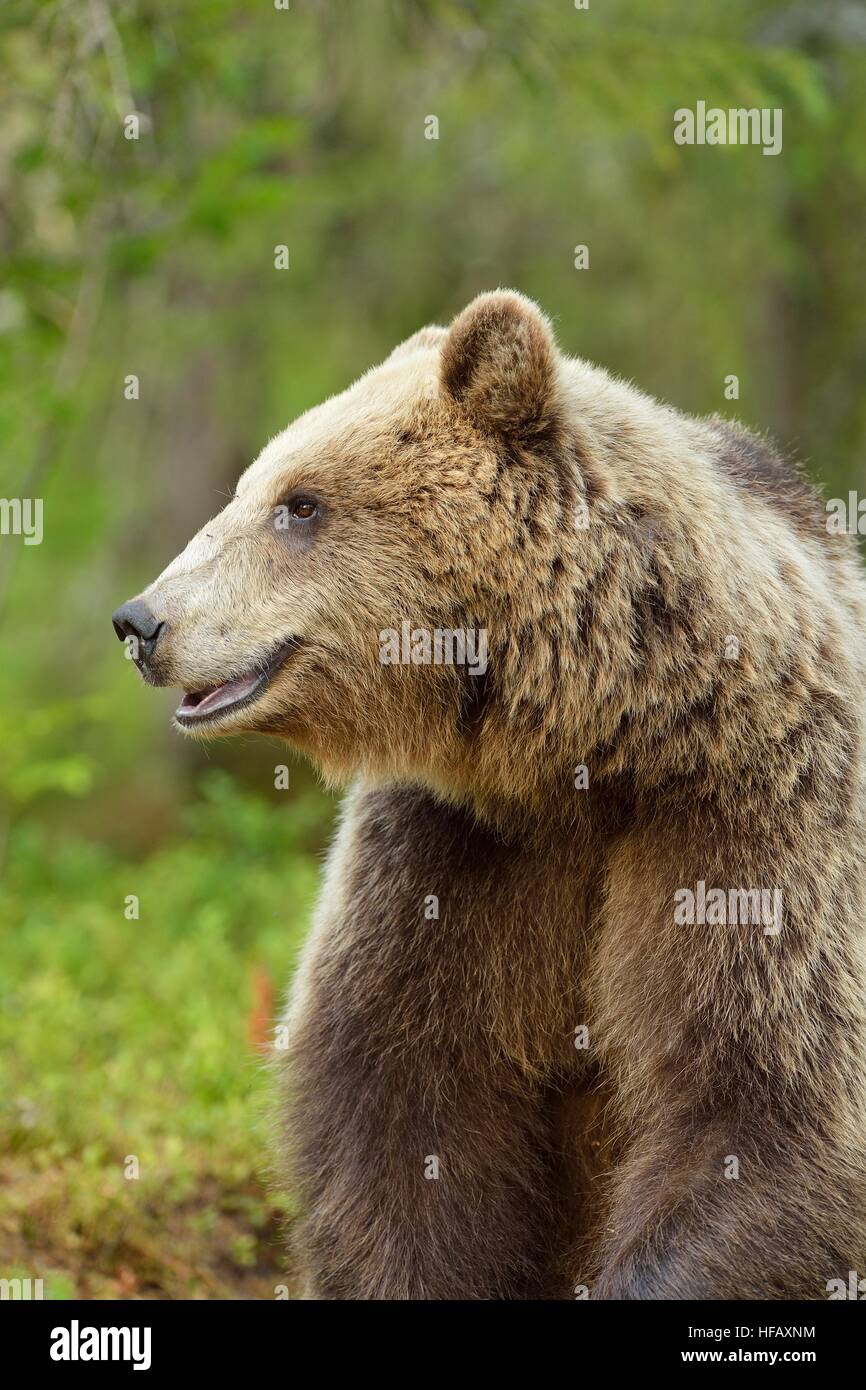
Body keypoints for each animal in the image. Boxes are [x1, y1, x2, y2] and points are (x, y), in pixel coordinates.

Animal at [112, 290, 866, 1300]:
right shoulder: (453, 848)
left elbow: (767, 1103)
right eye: (252, 488)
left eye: (299, 504)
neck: (598, 748)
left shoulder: (755, 812)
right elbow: (403, 1101)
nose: (142, 620)